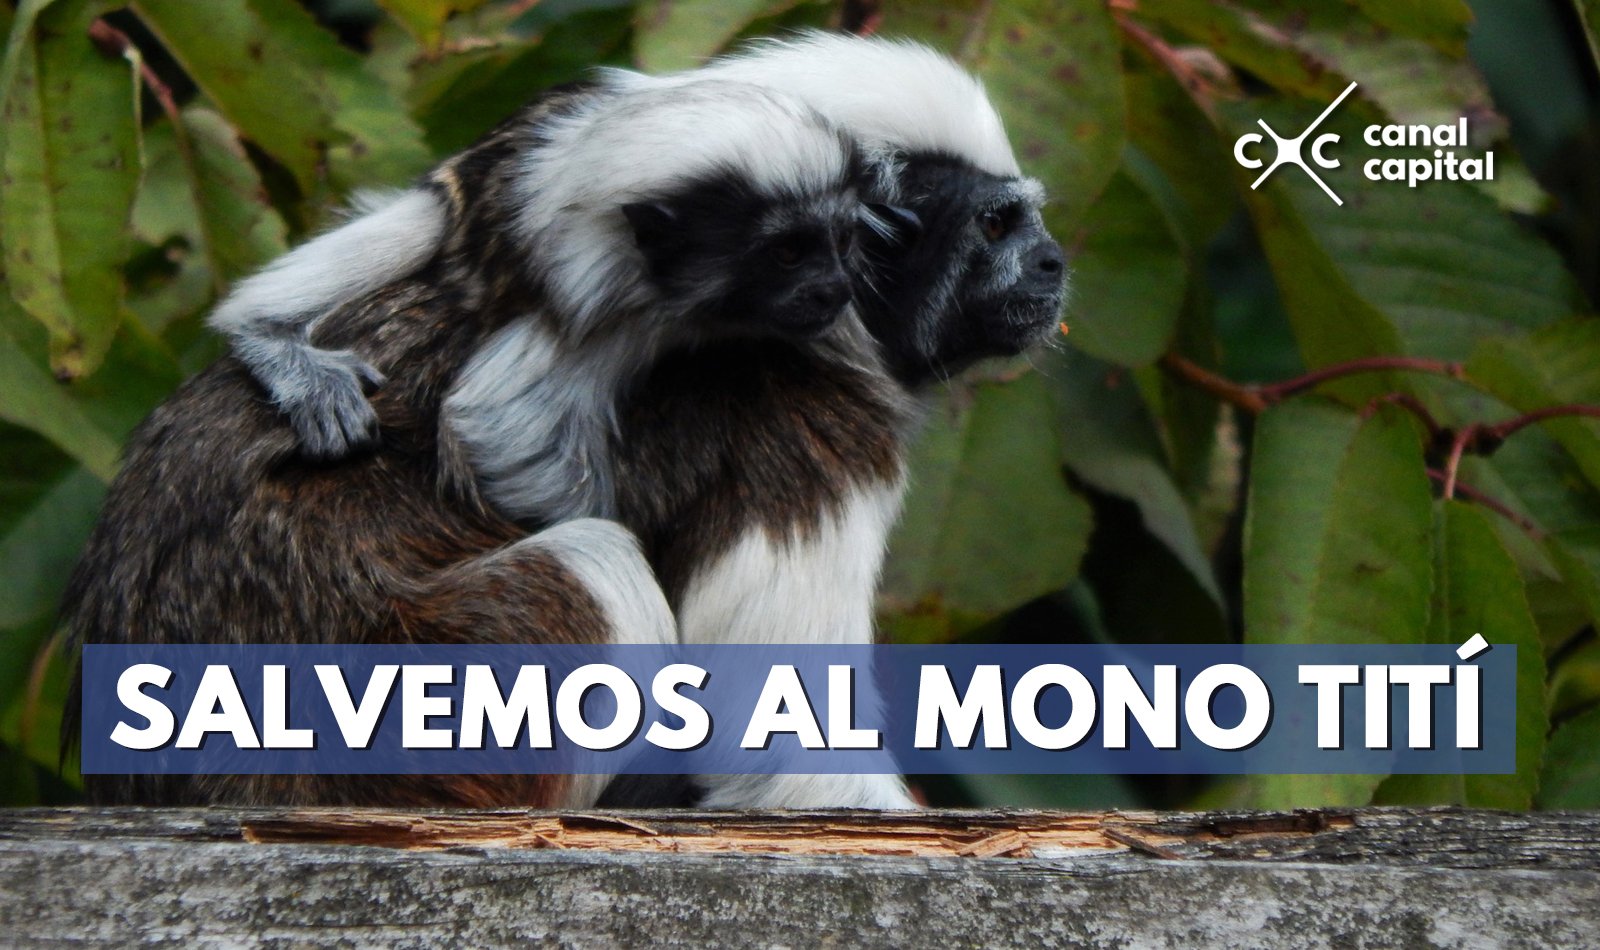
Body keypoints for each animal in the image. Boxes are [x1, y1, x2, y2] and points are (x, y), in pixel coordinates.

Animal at [61, 78, 871, 807]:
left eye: (838, 243)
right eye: (787, 254)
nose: (836, 289)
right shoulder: (601, 308)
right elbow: (499, 430)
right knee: (588, 557)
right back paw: (266, 335)